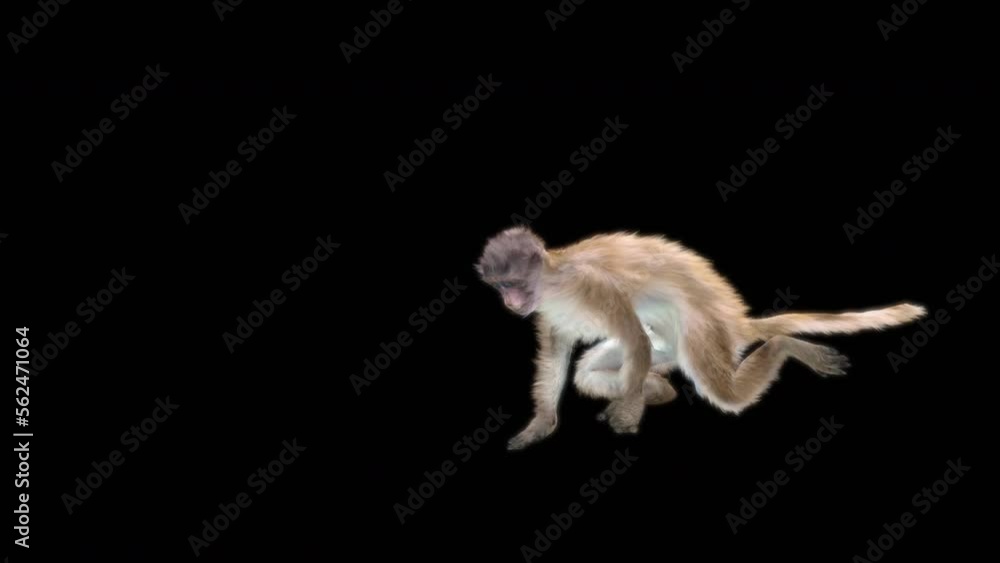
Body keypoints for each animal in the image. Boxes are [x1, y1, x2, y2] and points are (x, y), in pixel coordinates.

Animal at [474, 226, 926, 450]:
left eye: (512, 283)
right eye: (499, 287)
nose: (510, 301)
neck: (552, 281)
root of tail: (732, 319)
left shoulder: (590, 286)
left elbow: (633, 338)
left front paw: (628, 414)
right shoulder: (550, 311)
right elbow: (557, 357)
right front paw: (542, 425)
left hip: (703, 330)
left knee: (721, 388)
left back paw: (783, 345)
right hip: (670, 348)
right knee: (595, 372)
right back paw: (657, 391)